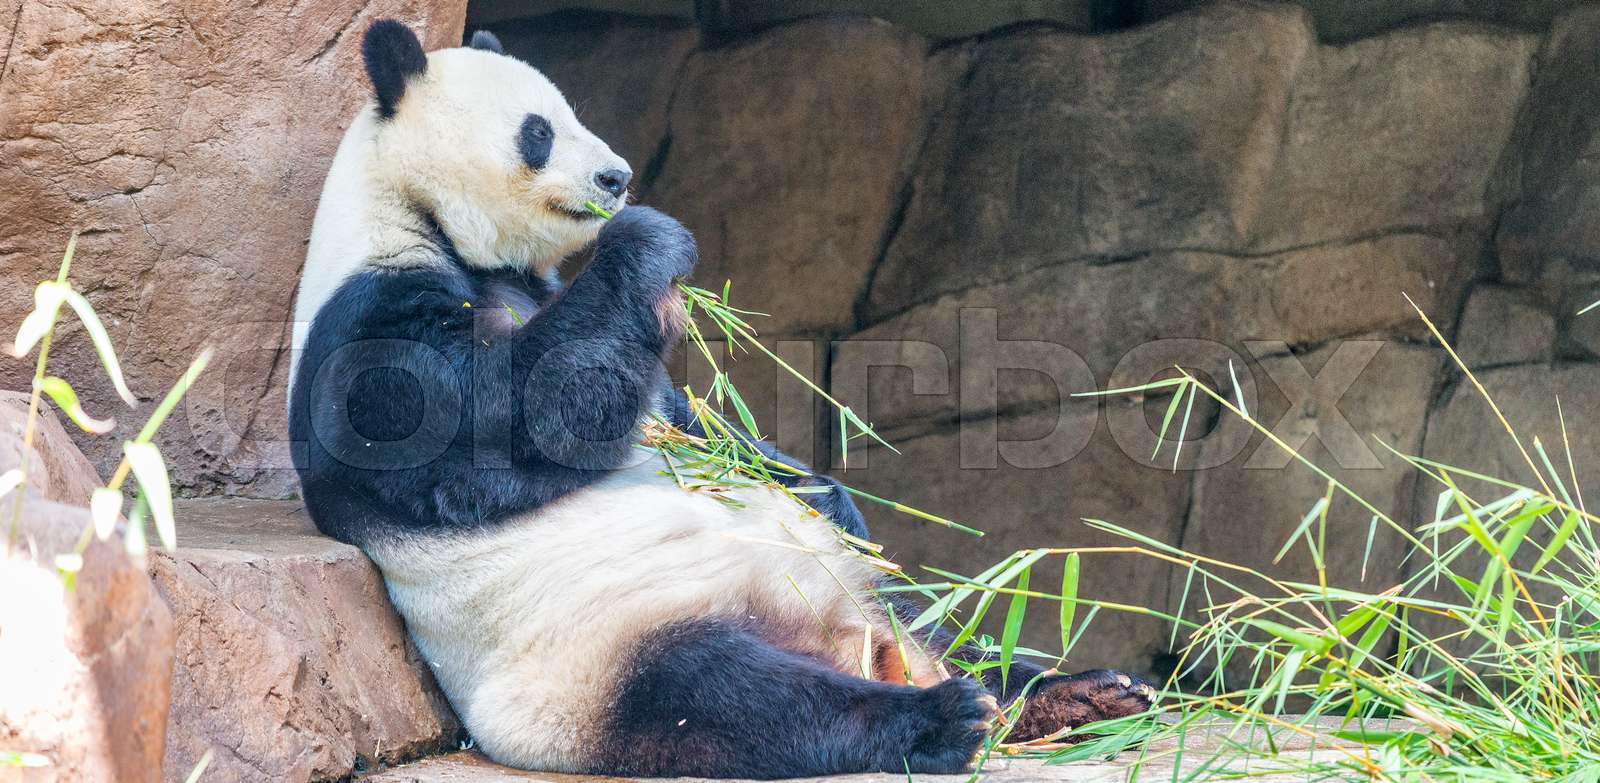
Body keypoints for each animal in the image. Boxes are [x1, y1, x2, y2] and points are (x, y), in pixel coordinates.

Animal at [288, 19, 1152, 778]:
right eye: (539, 132)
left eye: (571, 114)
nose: (616, 177)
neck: (419, 214)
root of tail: (845, 640)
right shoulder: (367, 328)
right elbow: (508, 418)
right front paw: (647, 236)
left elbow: (692, 422)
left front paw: (821, 484)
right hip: (596, 651)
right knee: (731, 698)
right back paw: (944, 717)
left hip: (852, 582)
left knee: (945, 615)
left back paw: (1081, 694)